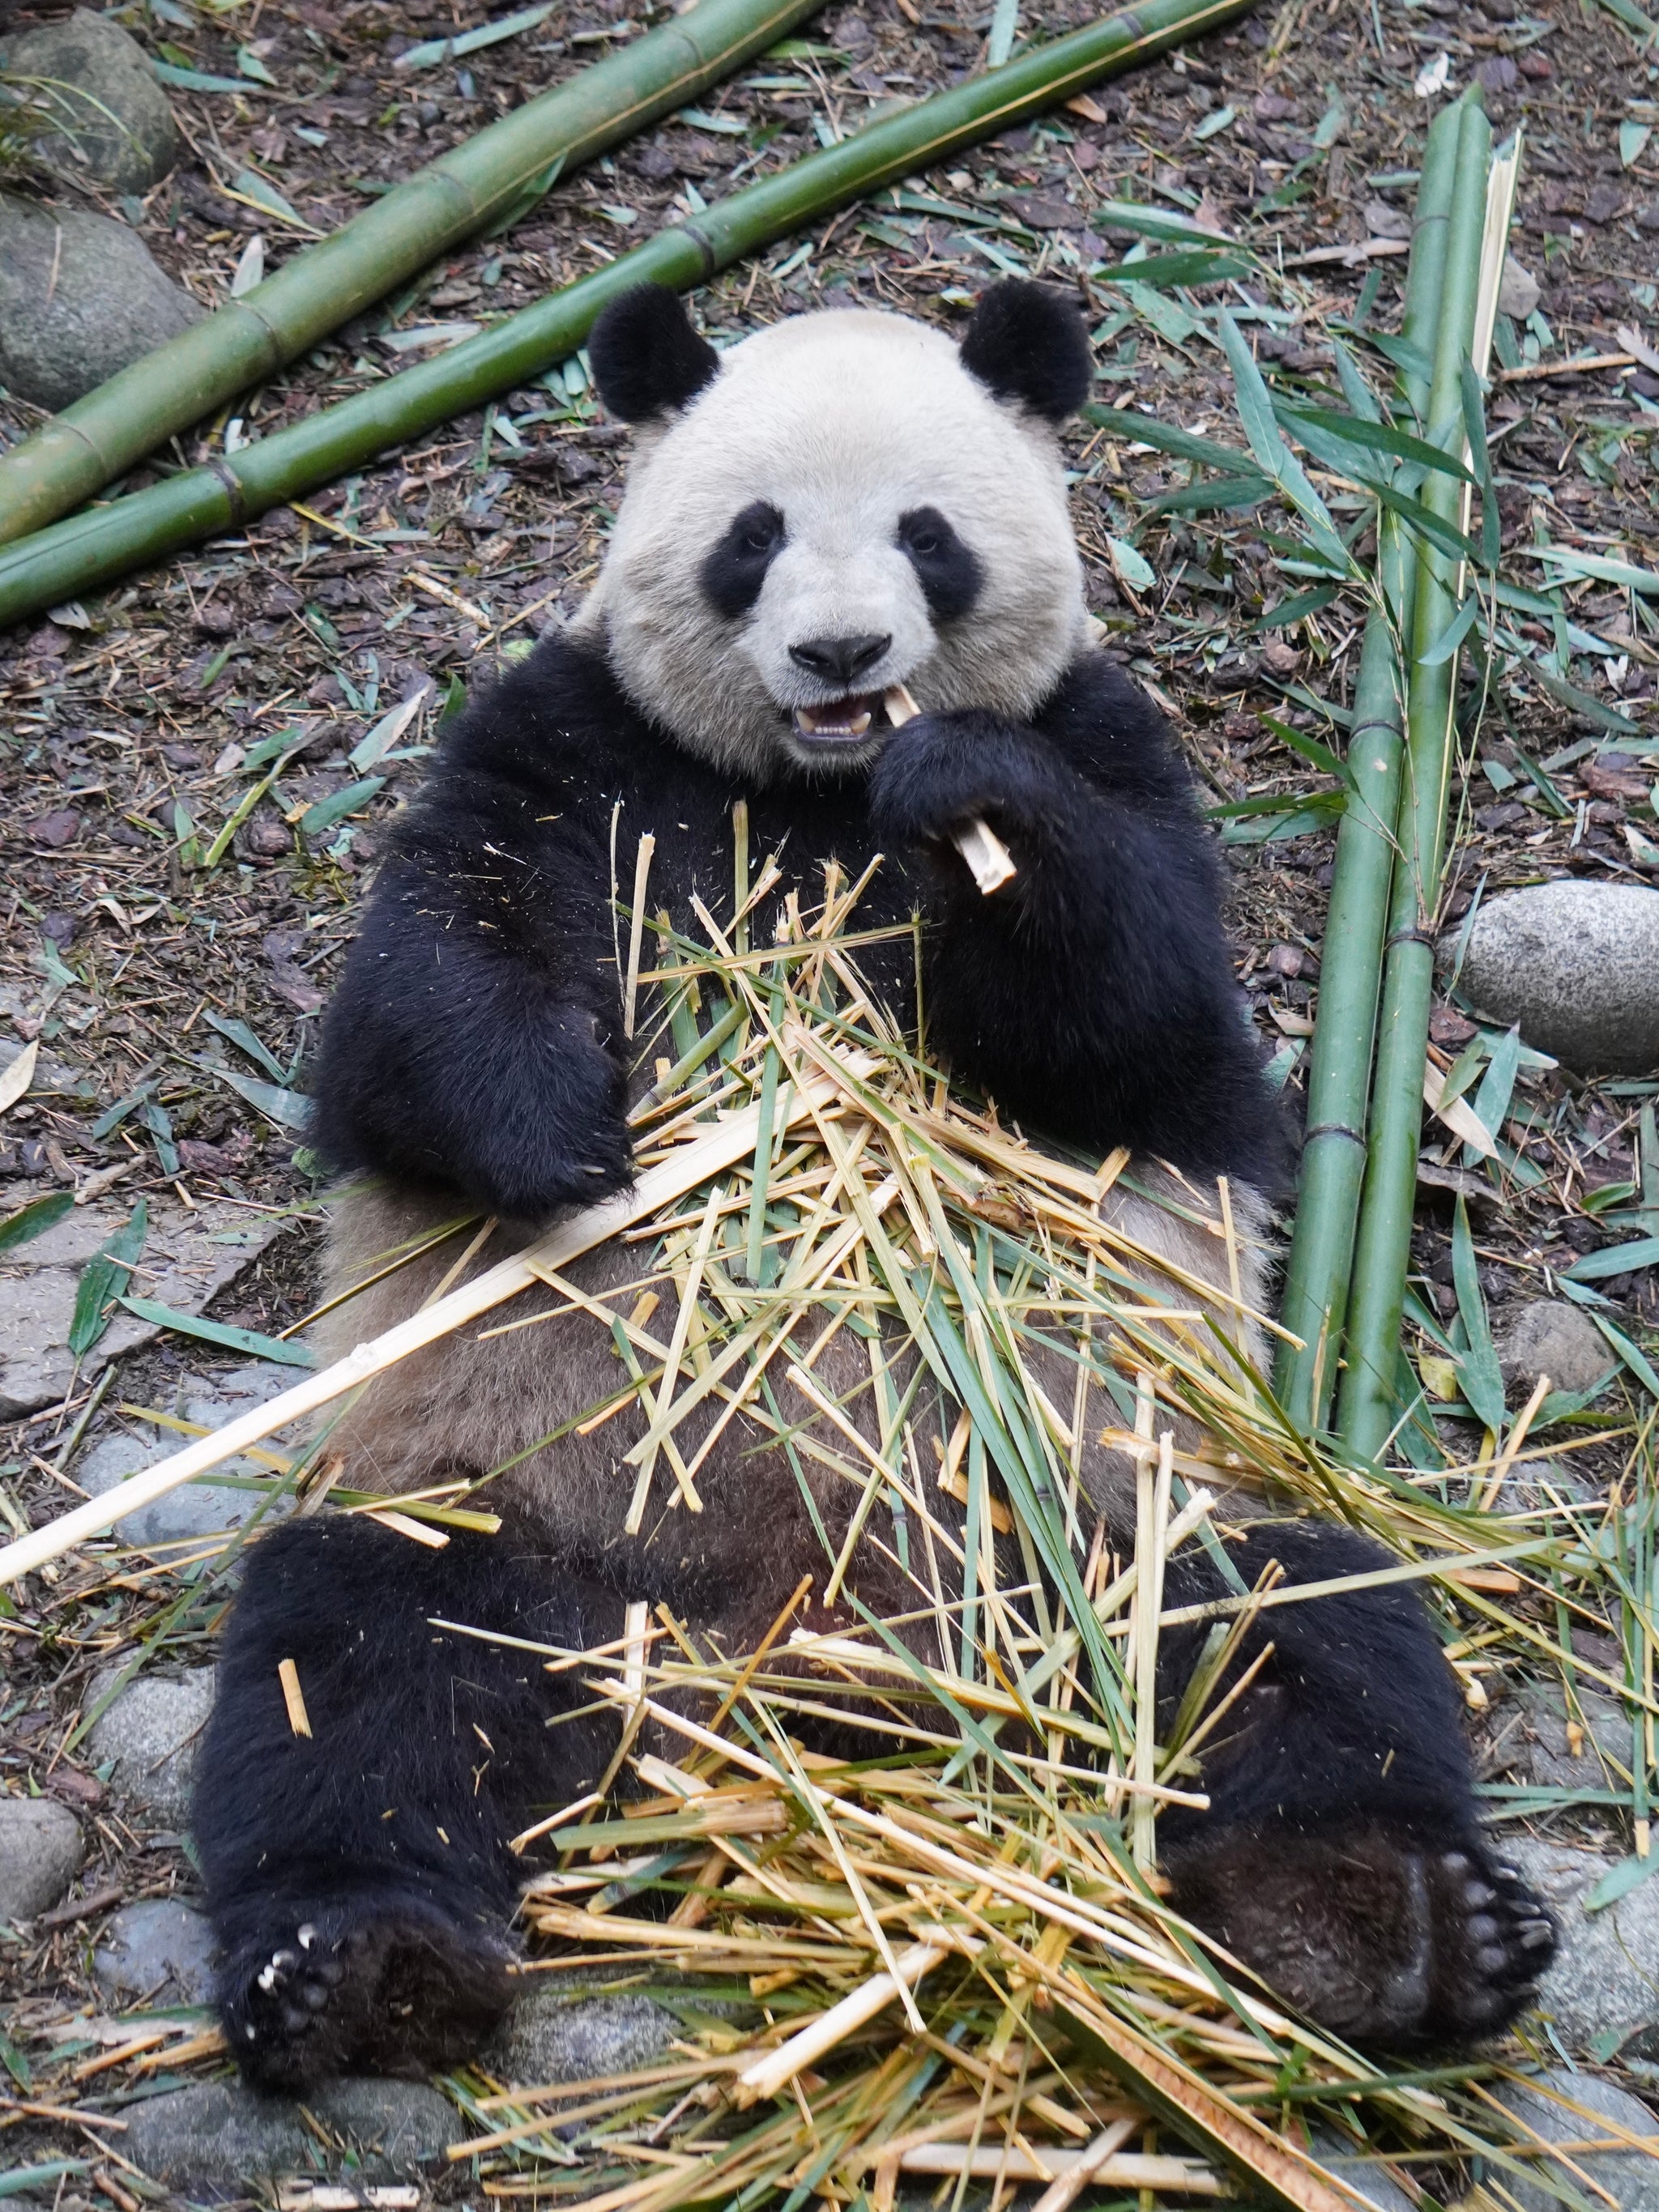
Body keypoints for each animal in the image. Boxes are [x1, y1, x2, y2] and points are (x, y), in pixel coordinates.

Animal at [194, 280, 1554, 2092]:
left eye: (927, 536)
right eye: (752, 537)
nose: (842, 655)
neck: (816, 791)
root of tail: (822, 1653)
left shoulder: (1108, 747)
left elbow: (1150, 1033)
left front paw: (973, 806)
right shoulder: (568, 742)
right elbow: (414, 1003)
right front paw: (566, 1140)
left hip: (1100, 1517)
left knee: (1296, 1626)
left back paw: (1383, 1925)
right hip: (521, 1512)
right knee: (363, 1667)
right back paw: (365, 1966)